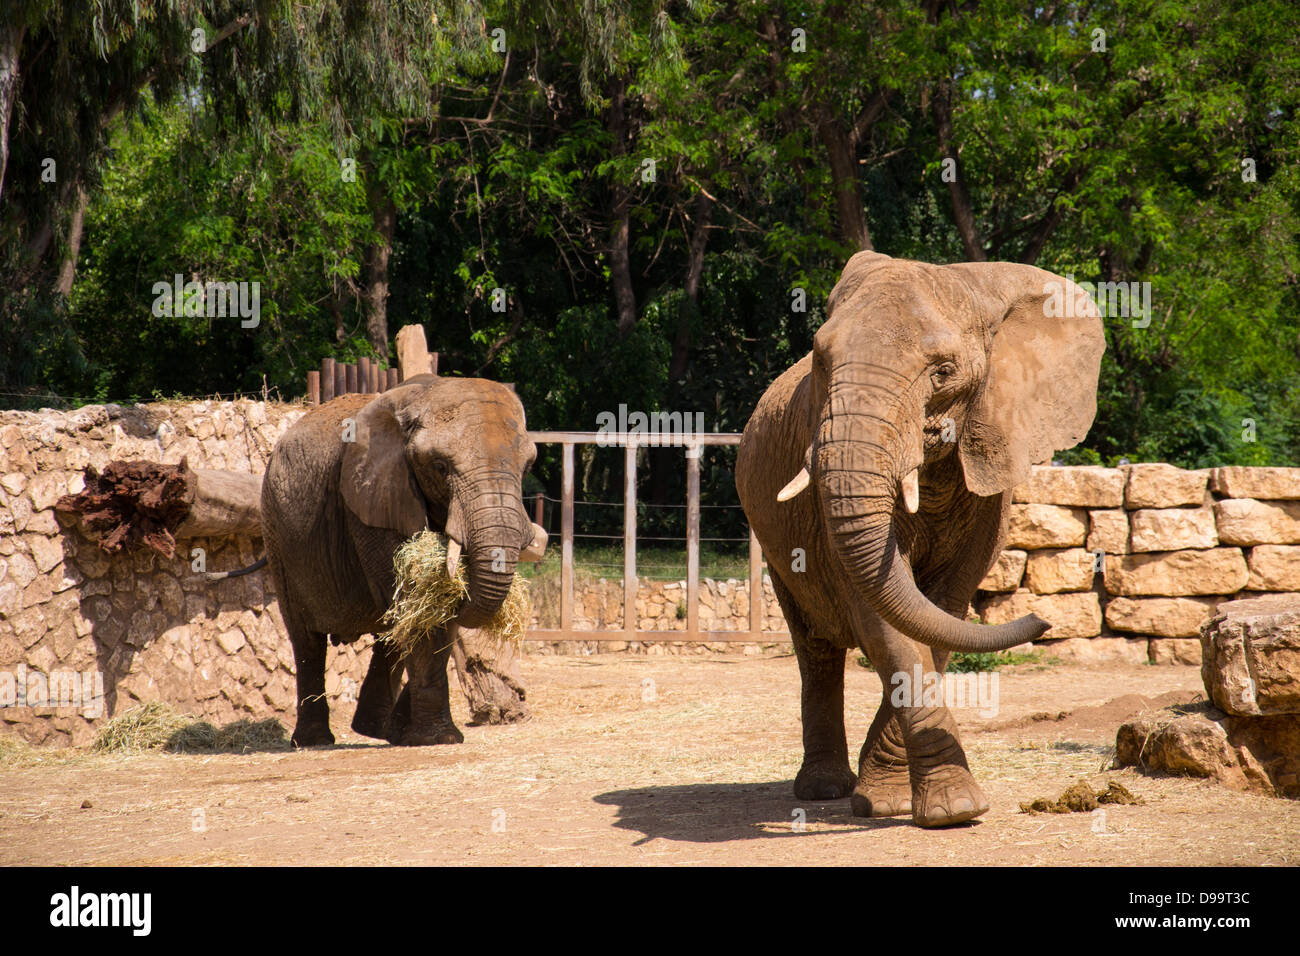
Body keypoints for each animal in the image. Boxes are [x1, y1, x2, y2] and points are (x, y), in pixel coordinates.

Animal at [260, 374, 546, 748]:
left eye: (526, 467)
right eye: (440, 467)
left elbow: (431, 609)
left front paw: (412, 733)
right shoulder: (372, 502)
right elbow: (419, 600)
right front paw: (441, 739)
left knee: (392, 630)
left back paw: (378, 731)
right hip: (277, 534)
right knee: (306, 639)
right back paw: (314, 740)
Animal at [736, 251, 1104, 828]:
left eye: (943, 373)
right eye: (820, 359)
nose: (1043, 620)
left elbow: (942, 613)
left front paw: (900, 801)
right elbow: (882, 614)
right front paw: (948, 808)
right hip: (777, 547)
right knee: (815, 647)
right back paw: (823, 790)